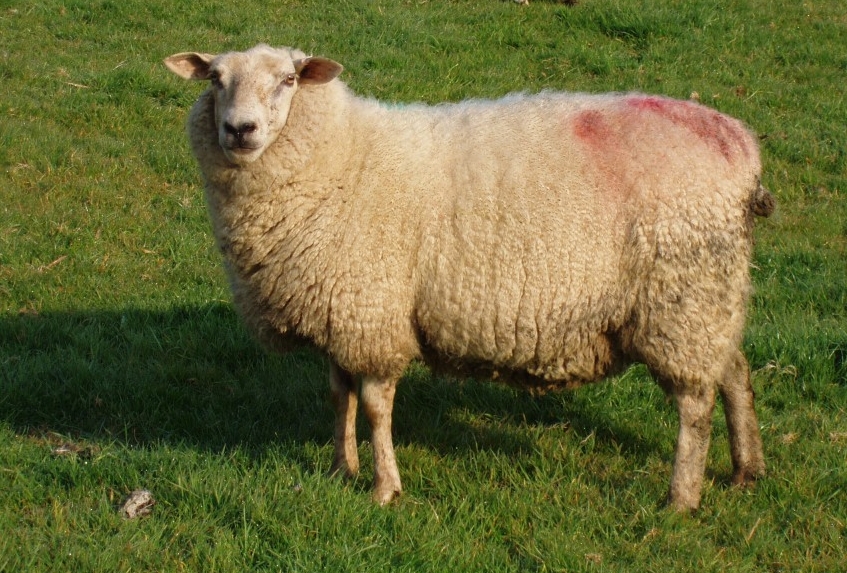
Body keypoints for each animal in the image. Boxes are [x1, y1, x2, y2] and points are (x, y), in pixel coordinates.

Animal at [164, 43, 773, 511]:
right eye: (216, 79)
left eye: (288, 80)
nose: (239, 130)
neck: (342, 159)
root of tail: (741, 145)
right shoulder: (342, 314)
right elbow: (339, 397)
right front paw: (341, 470)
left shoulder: (374, 313)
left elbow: (376, 406)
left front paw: (385, 489)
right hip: (711, 297)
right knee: (734, 372)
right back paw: (747, 470)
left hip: (682, 297)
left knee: (695, 406)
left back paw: (681, 498)